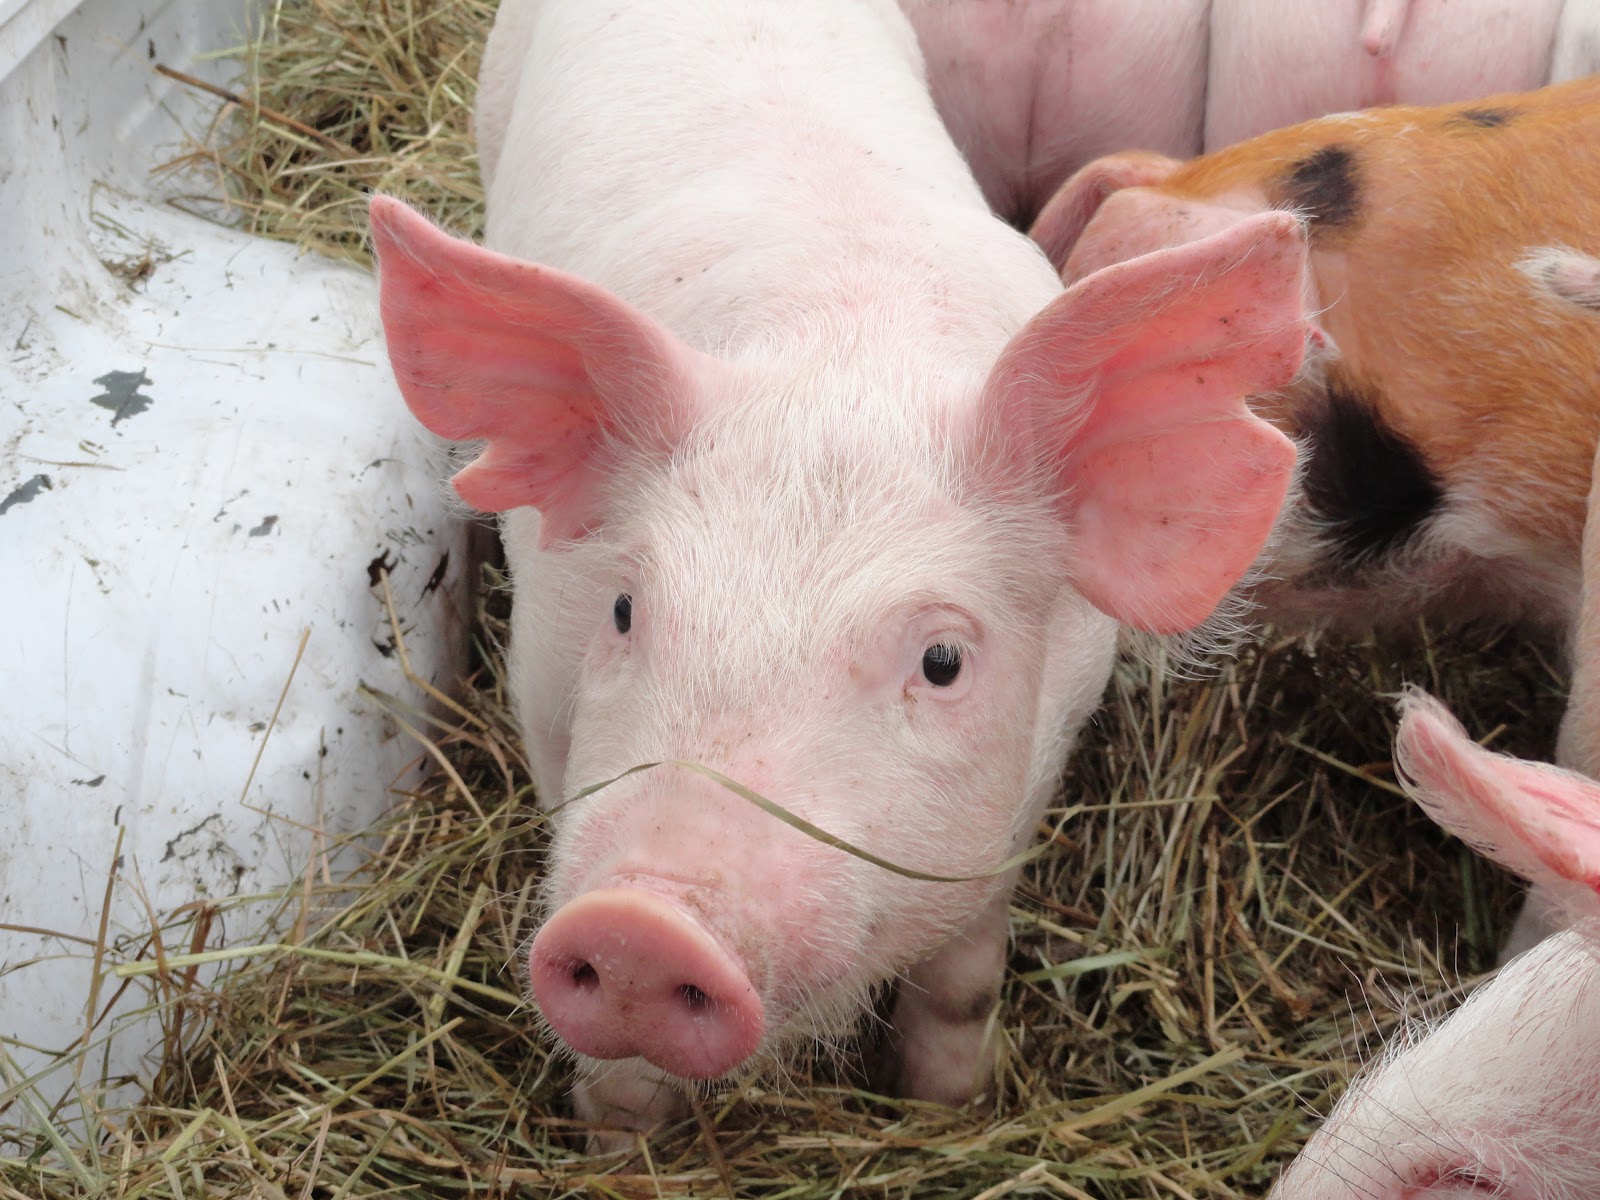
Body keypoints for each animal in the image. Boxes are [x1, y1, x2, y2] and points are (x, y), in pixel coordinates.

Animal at [369, 0, 1309, 1141]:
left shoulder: (1036, 763)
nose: (644, 923)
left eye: (943, 660)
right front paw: (616, 1148)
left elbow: (963, 978)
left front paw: (946, 1114)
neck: (842, 358)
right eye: (627, 609)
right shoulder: (542, 697)